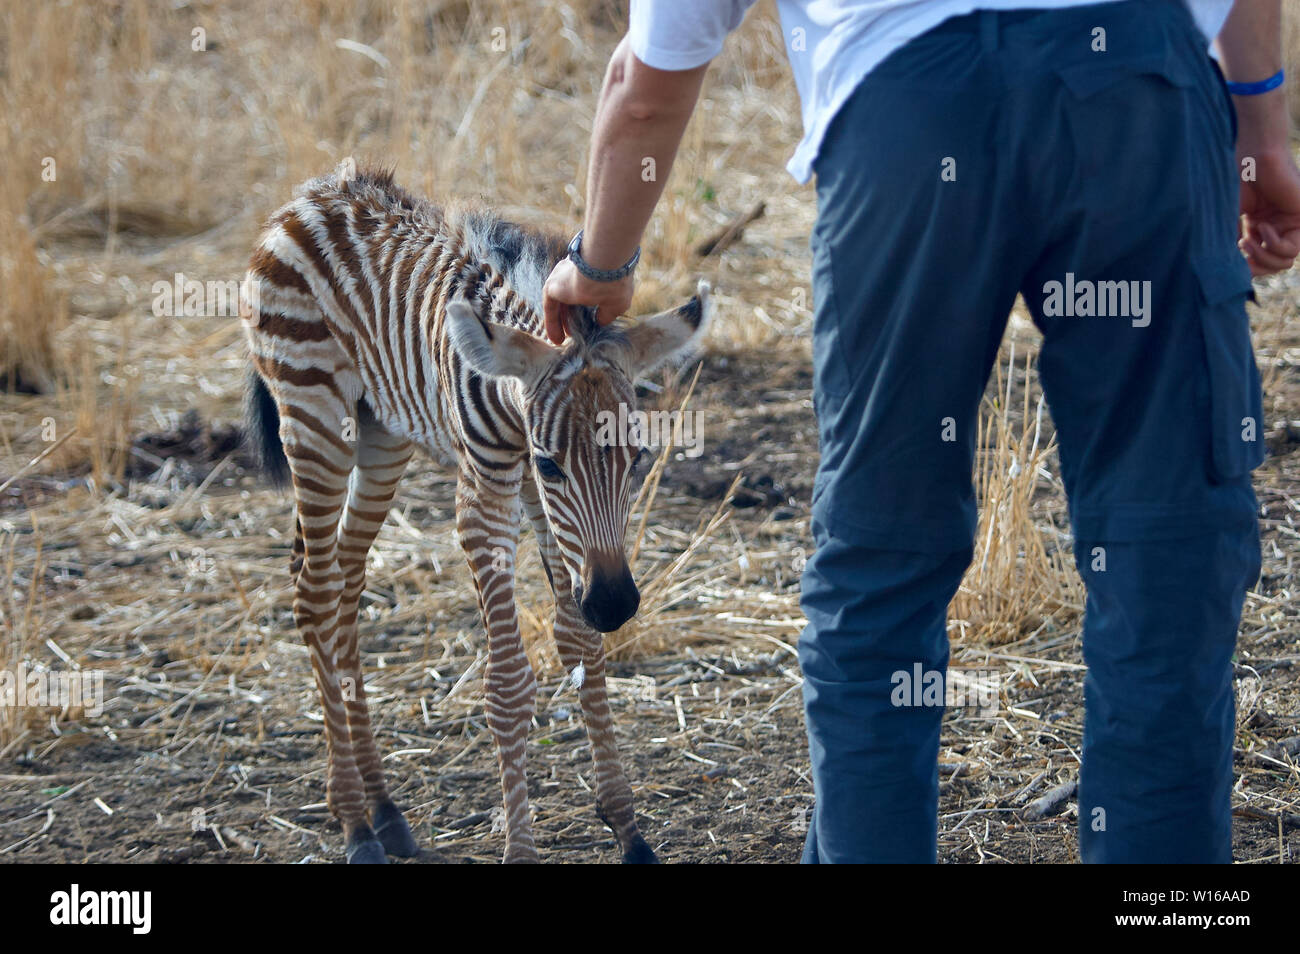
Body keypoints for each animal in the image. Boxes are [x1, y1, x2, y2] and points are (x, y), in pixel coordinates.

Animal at [238, 162, 710, 864]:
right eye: (549, 464)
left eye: (638, 460)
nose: (615, 605)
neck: (510, 412)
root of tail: (317, 192)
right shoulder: (489, 499)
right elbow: (509, 686)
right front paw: (520, 849)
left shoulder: (550, 519)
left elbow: (582, 648)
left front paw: (627, 828)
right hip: (313, 415)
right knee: (314, 591)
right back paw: (353, 821)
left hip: (383, 434)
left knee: (345, 580)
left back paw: (384, 810)